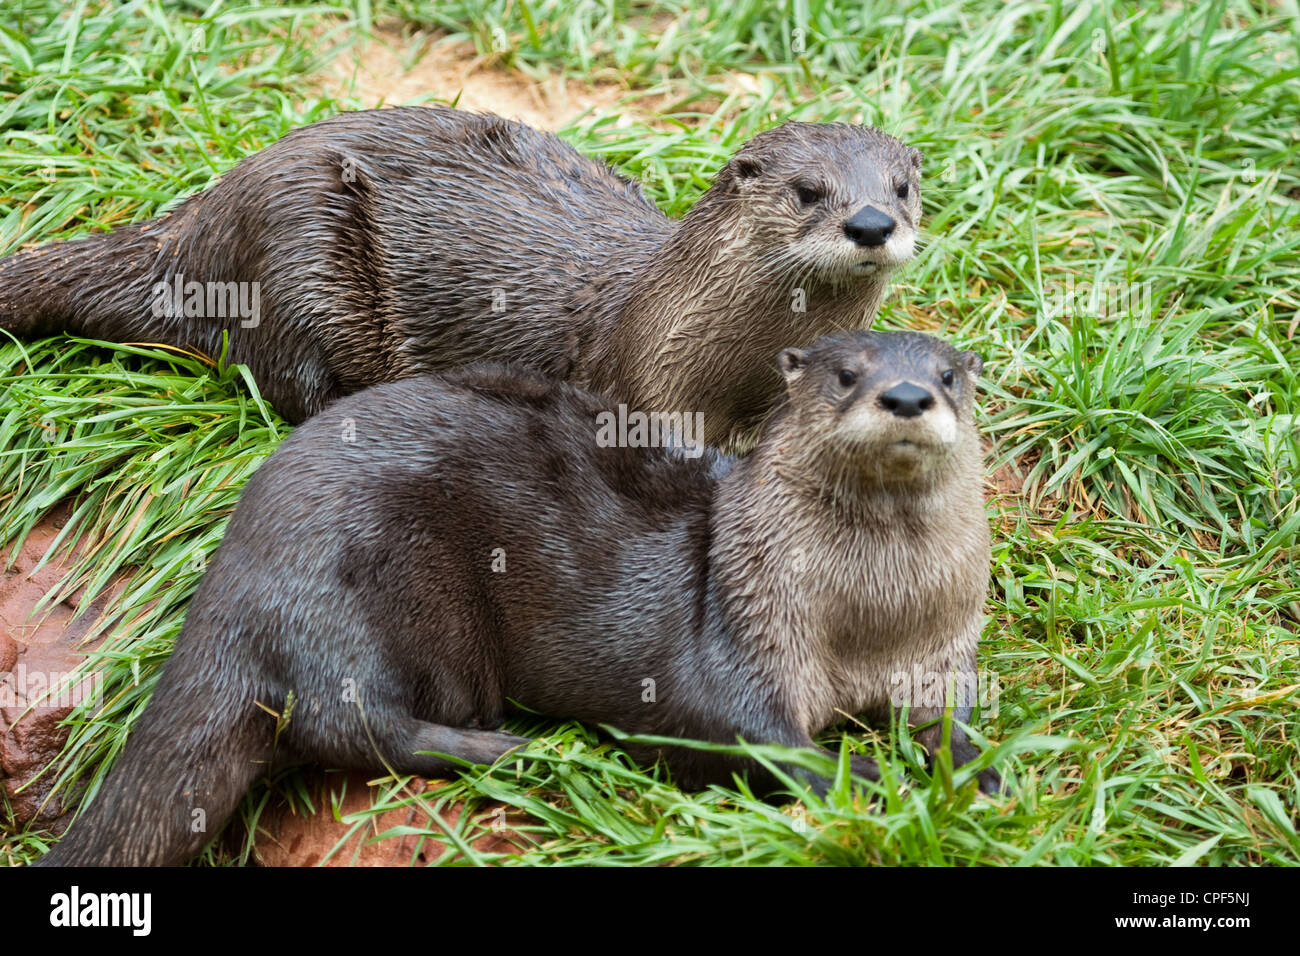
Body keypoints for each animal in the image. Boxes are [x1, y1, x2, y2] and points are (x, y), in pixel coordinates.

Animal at [0, 107, 921, 447]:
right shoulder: (641, 392)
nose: (872, 223)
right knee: (290, 384)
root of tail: (193, 224)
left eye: (903, 187)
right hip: (297, 244)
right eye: (808, 191)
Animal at [37, 329, 1000, 867]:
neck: (865, 622)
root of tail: (230, 574)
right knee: (347, 722)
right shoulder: (739, 636)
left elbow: (950, 716)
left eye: (950, 375)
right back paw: (512, 749)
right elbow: (740, 734)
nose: (906, 394)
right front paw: (874, 778)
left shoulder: (941, 651)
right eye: (846, 372)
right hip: (355, 593)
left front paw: (975, 770)